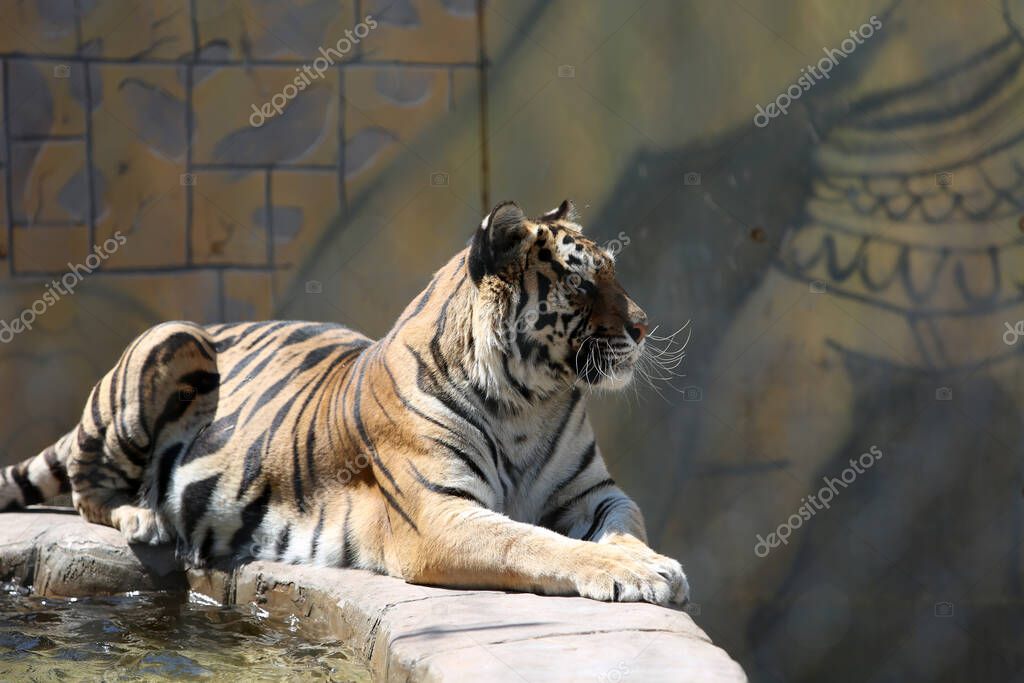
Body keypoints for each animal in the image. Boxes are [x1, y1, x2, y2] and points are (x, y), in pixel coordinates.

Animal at [0, 200, 689, 606]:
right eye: (581, 282)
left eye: (611, 271)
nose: (644, 326)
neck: (528, 400)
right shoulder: (438, 516)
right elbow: (533, 543)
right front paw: (637, 573)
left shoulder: (593, 493)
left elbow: (624, 526)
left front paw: (650, 563)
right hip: (172, 339)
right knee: (88, 485)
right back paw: (144, 517)